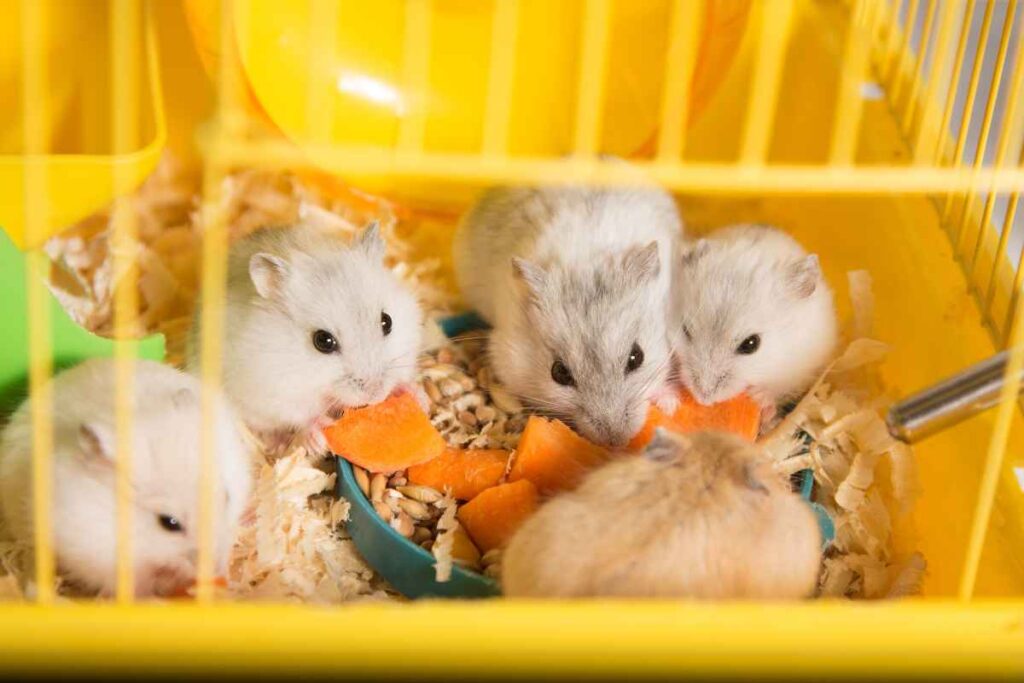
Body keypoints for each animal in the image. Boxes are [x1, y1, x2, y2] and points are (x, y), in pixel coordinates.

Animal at [188, 222, 423, 453]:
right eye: (323, 341)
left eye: (387, 322)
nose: (376, 394)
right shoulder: (277, 391)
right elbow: (304, 414)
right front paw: (320, 437)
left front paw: (418, 395)